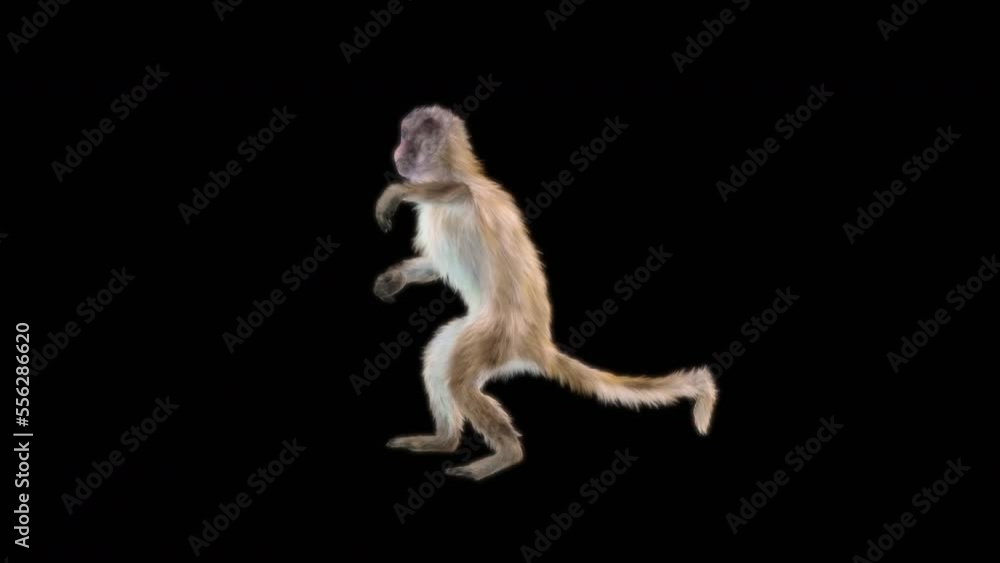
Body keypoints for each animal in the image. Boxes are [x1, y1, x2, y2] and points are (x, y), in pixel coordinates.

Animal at [374, 105, 718, 481]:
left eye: (408, 138)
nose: (396, 153)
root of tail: (537, 342)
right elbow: (435, 265)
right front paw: (392, 280)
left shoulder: (475, 194)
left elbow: (459, 191)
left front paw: (397, 193)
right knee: (439, 361)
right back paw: (445, 441)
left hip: (498, 334)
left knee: (459, 383)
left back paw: (506, 455)